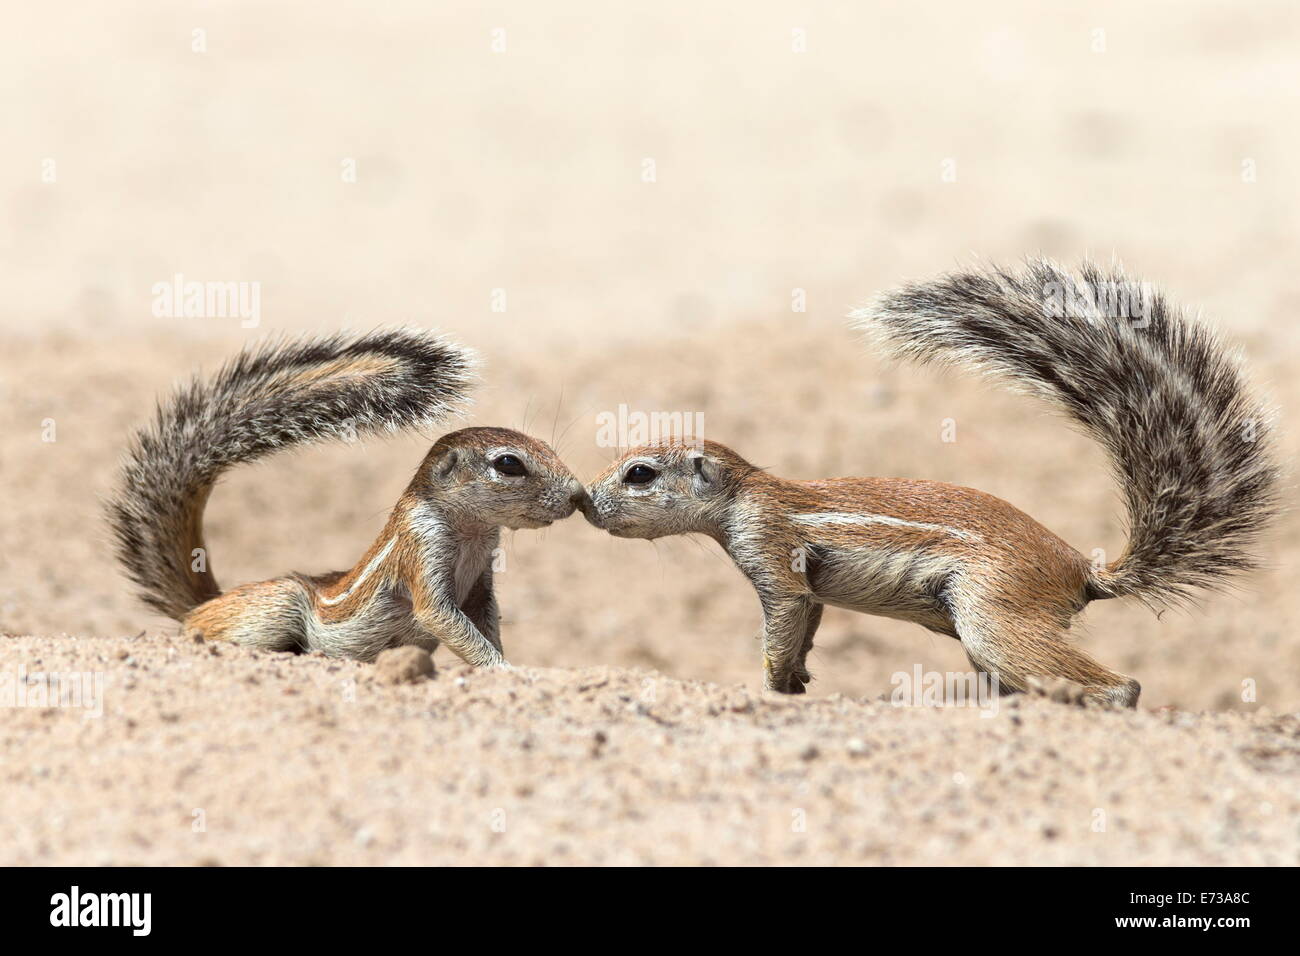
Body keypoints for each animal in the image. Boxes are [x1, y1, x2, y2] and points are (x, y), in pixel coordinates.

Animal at [106, 329, 585, 665]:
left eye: (546, 446)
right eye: (508, 464)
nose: (577, 495)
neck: (471, 531)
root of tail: (203, 606)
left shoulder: (483, 581)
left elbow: (486, 624)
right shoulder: (422, 550)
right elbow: (442, 618)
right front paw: (502, 670)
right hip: (278, 605)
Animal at [581, 260, 1280, 707]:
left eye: (639, 474)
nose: (588, 502)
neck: (745, 490)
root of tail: (1085, 567)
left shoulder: (771, 547)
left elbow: (784, 617)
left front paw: (774, 689)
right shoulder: (809, 585)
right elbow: (809, 619)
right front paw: (800, 679)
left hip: (992, 612)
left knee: (1115, 684)